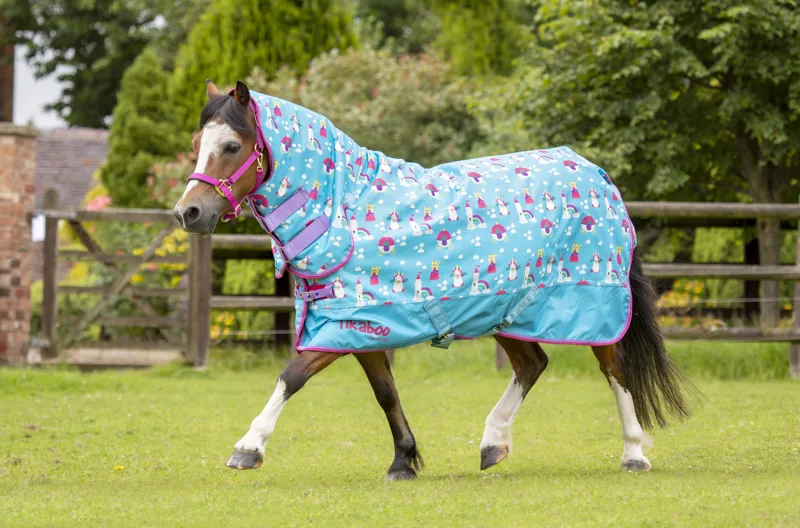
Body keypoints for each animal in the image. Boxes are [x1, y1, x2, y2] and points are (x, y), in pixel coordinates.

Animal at [172, 79, 693, 480]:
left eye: (231, 147)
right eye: (196, 147)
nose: (188, 213)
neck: (346, 211)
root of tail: (598, 174)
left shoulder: (344, 326)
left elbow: (291, 376)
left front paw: (248, 448)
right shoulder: (364, 324)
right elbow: (385, 394)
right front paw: (403, 461)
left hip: (594, 308)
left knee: (615, 369)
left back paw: (633, 453)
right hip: (508, 309)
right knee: (533, 364)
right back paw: (493, 443)